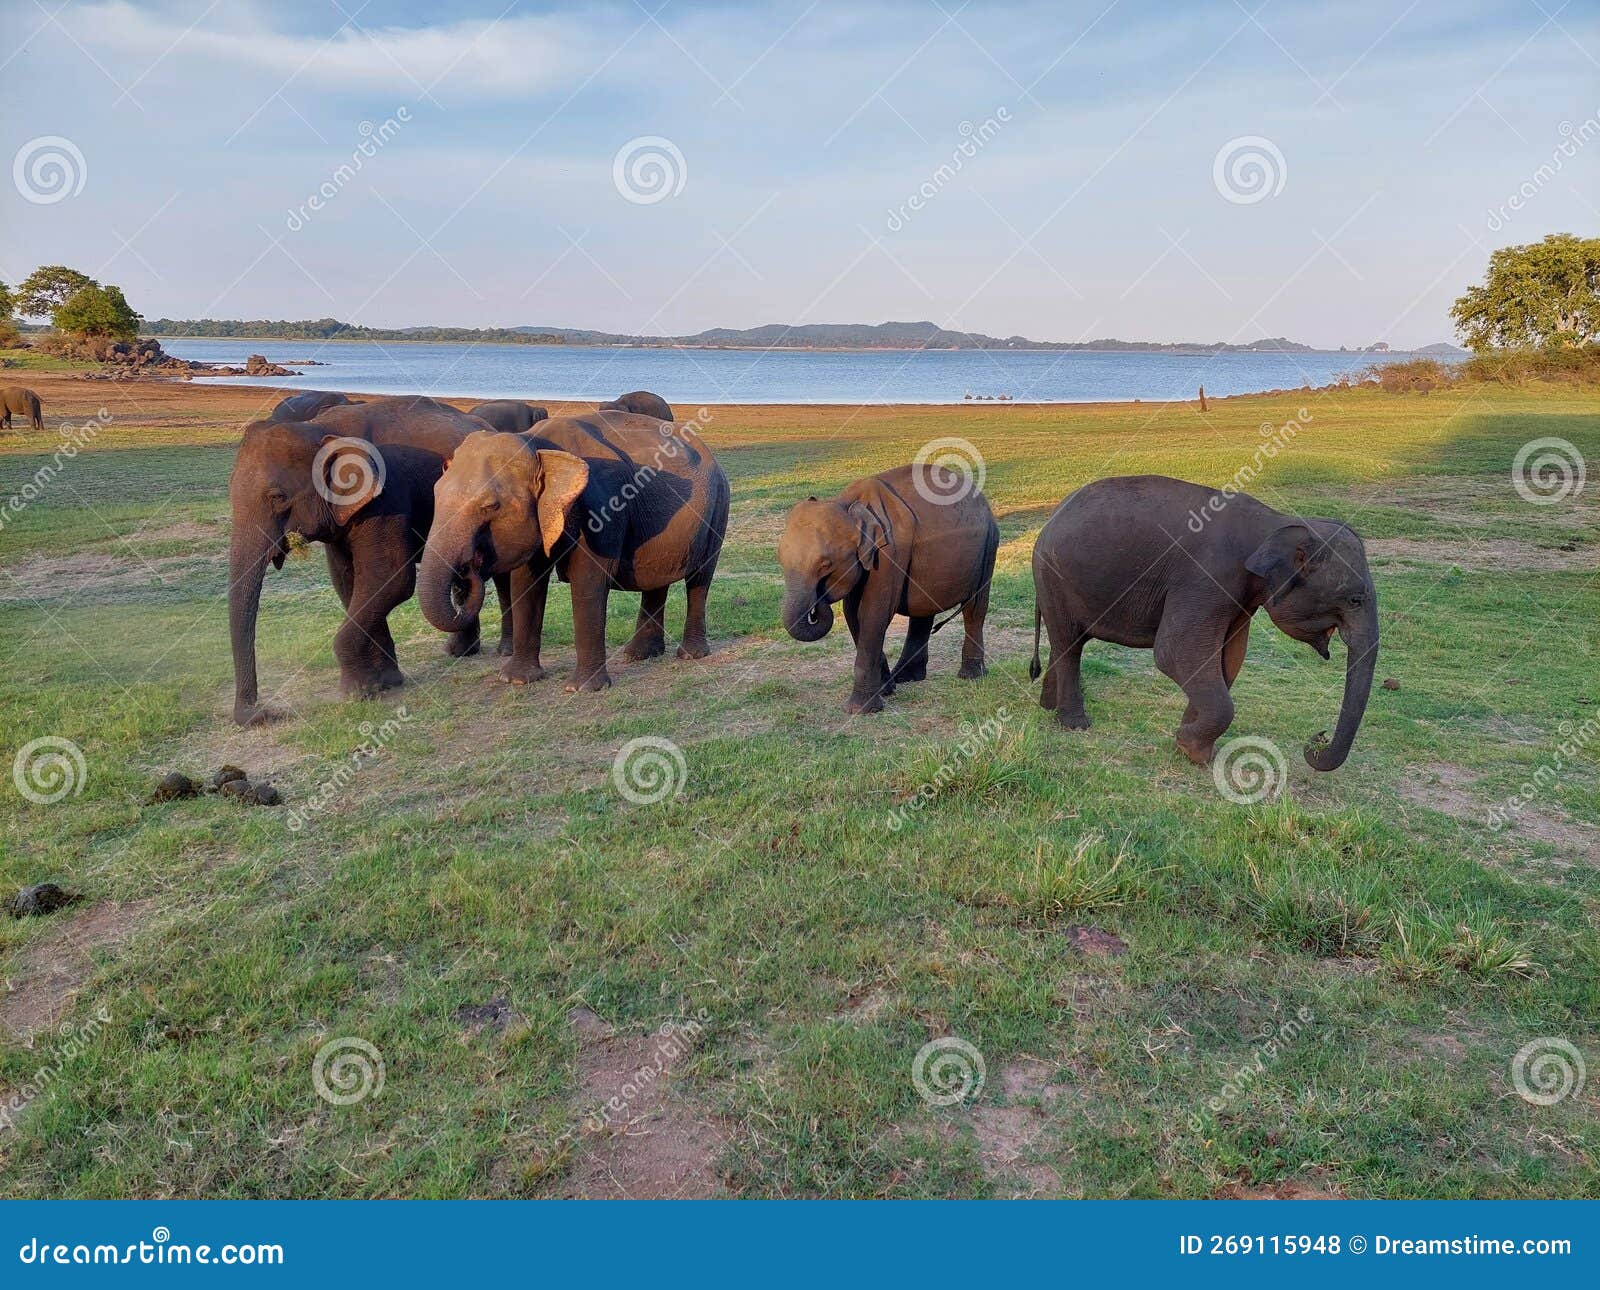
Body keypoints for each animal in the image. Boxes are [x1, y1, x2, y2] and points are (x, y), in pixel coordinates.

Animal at [228, 395, 512, 726]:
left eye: (277, 497)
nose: (262, 713)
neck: (318, 428)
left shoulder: (387, 496)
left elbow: (391, 579)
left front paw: (356, 692)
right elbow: (348, 581)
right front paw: (385, 682)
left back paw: (503, 652)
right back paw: (459, 652)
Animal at [416, 409, 729, 692]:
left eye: (491, 506)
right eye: (436, 494)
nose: (469, 568)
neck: (537, 446)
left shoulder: (605, 505)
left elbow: (588, 581)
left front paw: (581, 689)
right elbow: (525, 583)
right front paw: (516, 680)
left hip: (718, 508)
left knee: (700, 579)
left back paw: (690, 655)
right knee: (656, 579)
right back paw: (638, 655)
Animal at [778, 465, 998, 714]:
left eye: (825, 565)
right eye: (780, 558)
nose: (817, 606)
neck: (847, 504)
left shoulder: (890, 552)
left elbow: (873, 614)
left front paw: (861, 710)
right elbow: (853, 614)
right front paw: (885, 691)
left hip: (988, 548)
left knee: (974, 609)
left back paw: (971, 676)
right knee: (923, 612)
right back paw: (907, 677)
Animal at [1029, 475, 1378, 770]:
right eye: (1355, 599)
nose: (1318, 738)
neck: (1274, 523)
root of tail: (1050, 520)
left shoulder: (1239, 597)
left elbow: (1229, 658)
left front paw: (1190, 740)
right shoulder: (1206, 578)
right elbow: (1174, 653)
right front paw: (1191, 748)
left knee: (1065, 642)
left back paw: (1048, 707)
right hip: (1053, 575)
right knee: (1069, 645)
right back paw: (1075, 723)